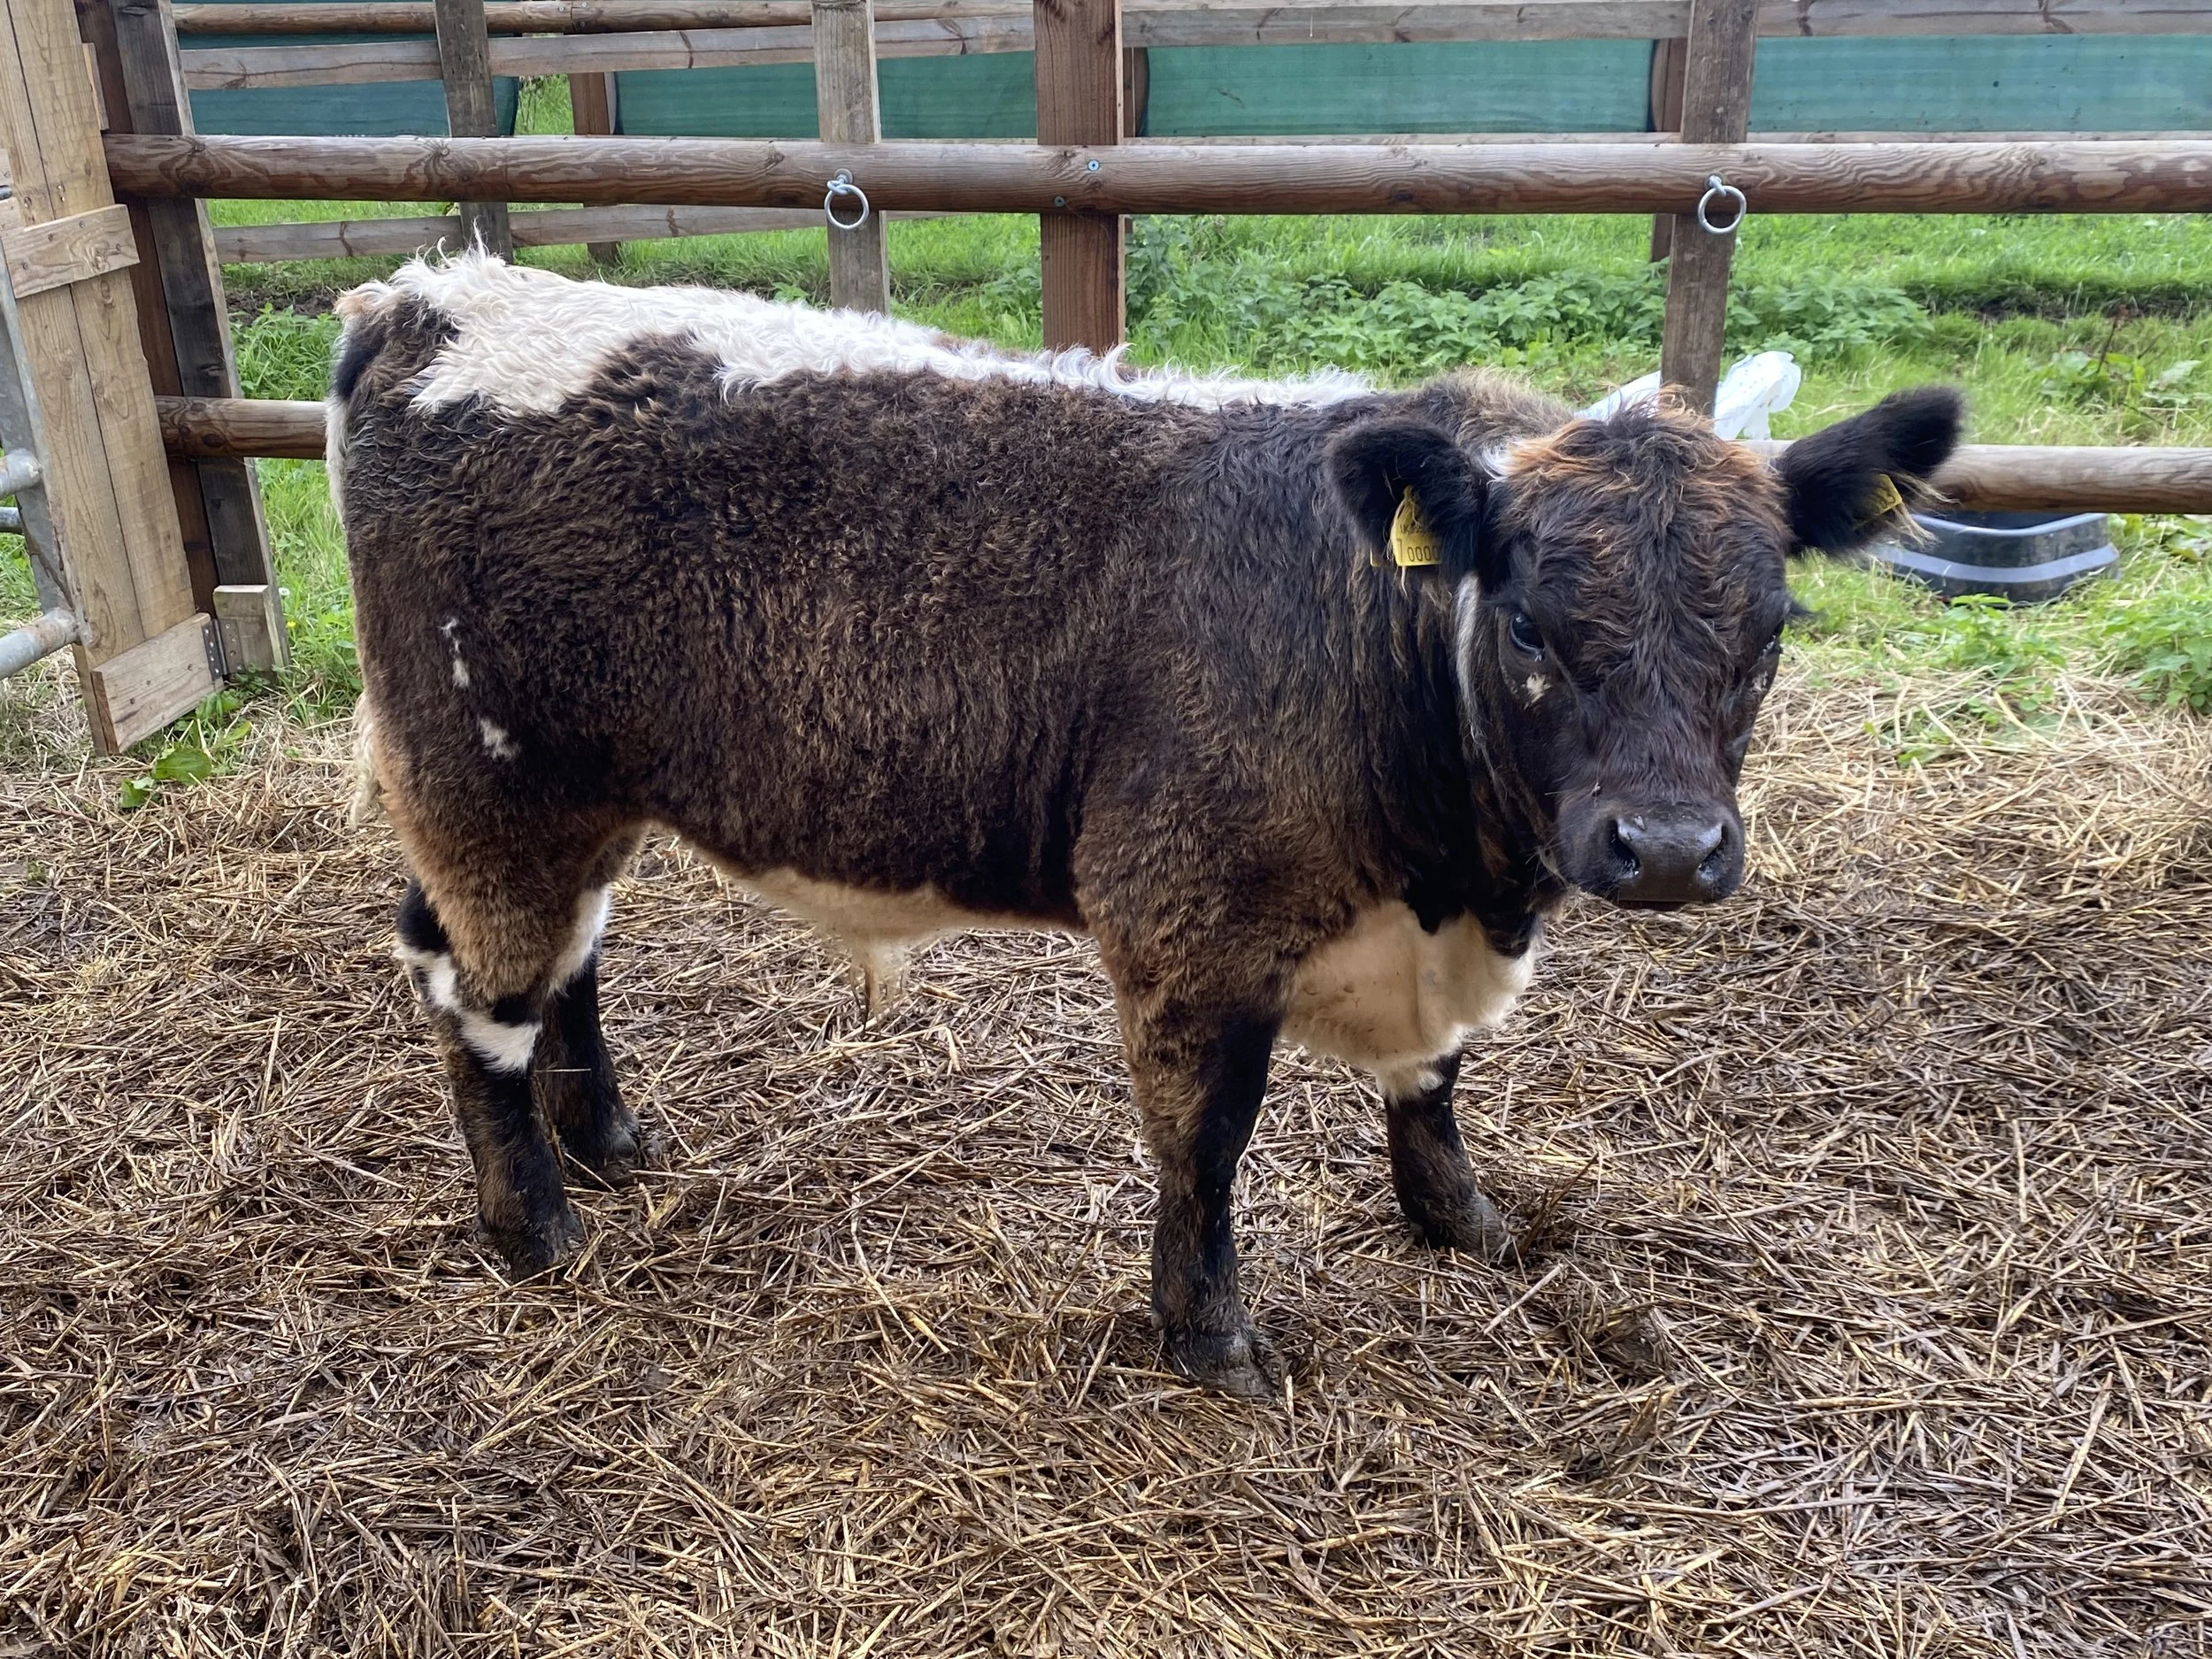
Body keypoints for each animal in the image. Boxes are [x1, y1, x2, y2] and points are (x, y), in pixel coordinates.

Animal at [334, 252, 1961, 1397]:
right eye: (1532, 627)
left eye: (1770, 629)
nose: (1669, 848)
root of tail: (431, 293)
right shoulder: (1189, 916)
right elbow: (1207, 1136)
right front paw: (1210, 1334)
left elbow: (1434, 1081)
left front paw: (1464, 1221)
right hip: (486, 781)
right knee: (478, 985)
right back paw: (533, 1224)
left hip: (581, 792)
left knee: (562, 962)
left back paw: (609, 1136)